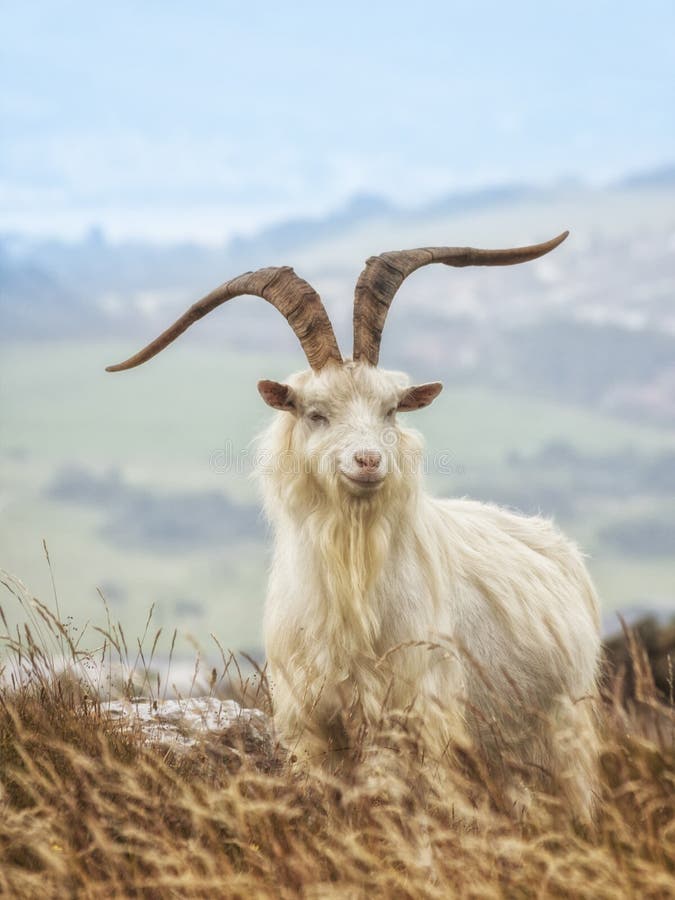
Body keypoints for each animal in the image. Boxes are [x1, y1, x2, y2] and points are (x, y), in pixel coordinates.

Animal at [107, 231, 601, 819]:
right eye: (315, 412)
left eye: (391, 410)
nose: (368, 461)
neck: (353, 583)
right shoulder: (312, 723)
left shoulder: (419, 715)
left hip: (560, 737)